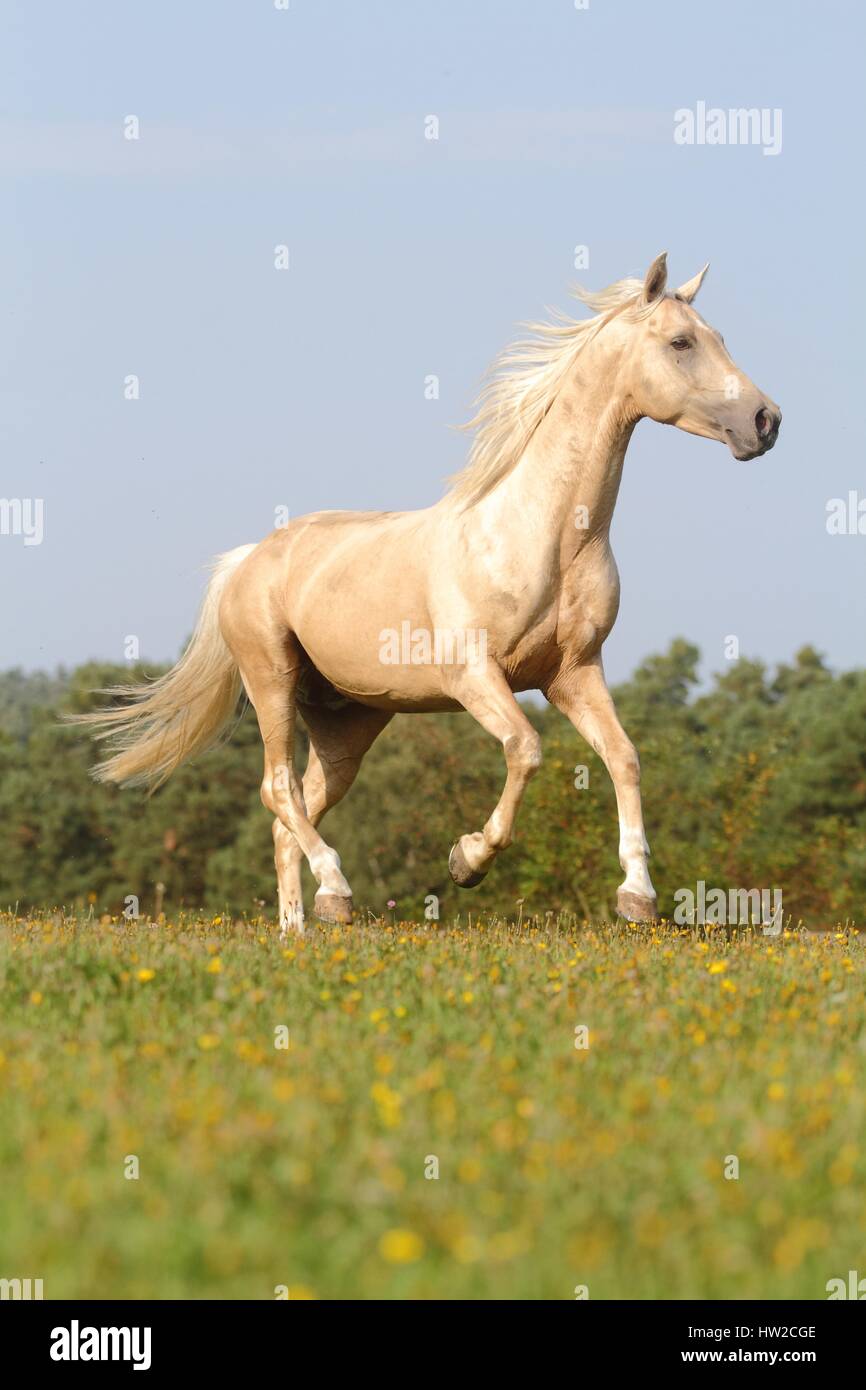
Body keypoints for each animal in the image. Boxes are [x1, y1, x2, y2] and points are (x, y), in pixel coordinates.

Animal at [74, 253, 780, 933]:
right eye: (682, 342)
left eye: (718, 337)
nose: (766, 421)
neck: (544, 536)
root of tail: (249, 558)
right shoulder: (475, 677)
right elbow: (526, 750)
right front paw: (467, 860)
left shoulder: (574, 674)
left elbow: (624, 758)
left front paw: (637, 895)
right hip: (271, 678)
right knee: (278, 790)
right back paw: (336, 888)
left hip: (347, 724)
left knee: (291, 812)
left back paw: (303, 927)